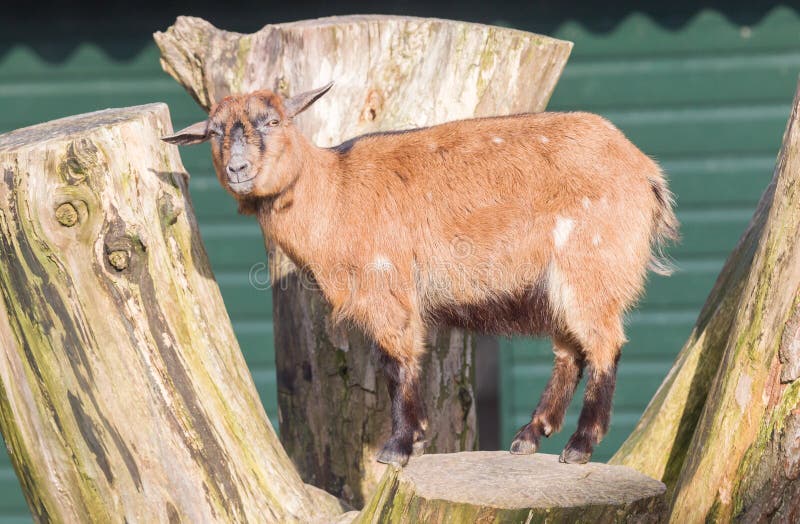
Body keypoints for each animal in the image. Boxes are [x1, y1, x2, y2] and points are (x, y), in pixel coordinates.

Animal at [163, 83, 678, 466]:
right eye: (214, 132)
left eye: (271, 121)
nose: (238, 168)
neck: (334, 190)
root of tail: (646, 173)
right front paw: (413, 438)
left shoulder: (387, 288)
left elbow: (398, 361)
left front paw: (398, 446)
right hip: (562, 283)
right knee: (571, 351)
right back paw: (529, 436)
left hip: (591, 265)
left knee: (604, 343)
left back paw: (579, 445)